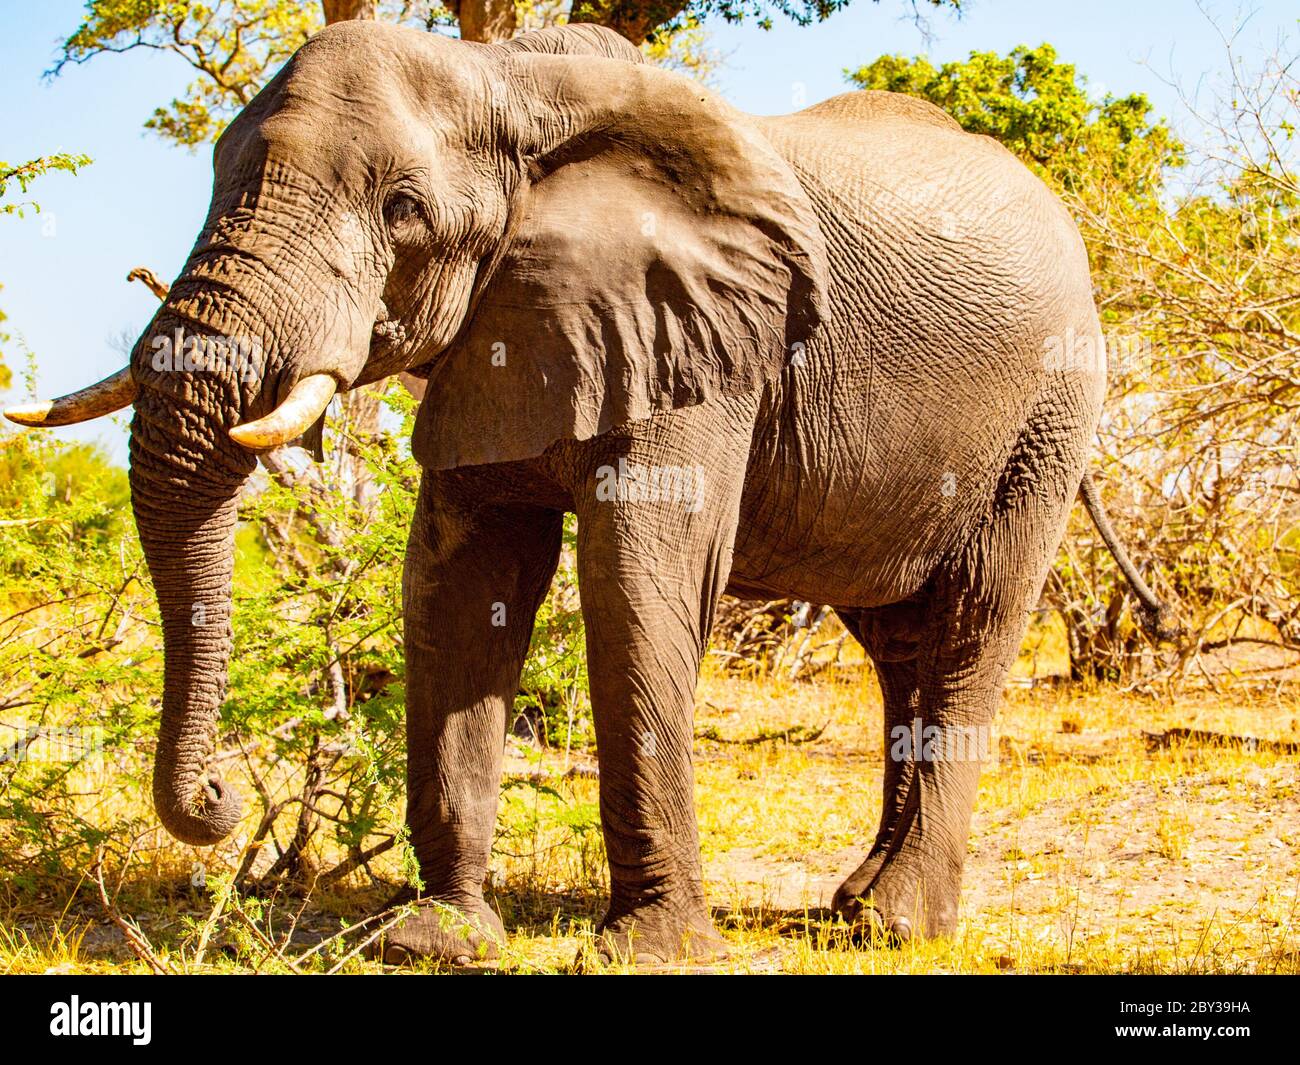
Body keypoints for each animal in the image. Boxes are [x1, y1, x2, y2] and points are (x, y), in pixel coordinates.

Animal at [7, 21, 1169, 964]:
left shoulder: (709, 340)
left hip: (1051, 406)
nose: (218, 798)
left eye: (402, 209)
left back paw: (892, 928)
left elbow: (637, 588)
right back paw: (847, 907)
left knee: (971, 624)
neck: (508, 80)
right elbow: (458, 589)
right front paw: (435, 940)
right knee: (898, 645)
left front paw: (651, 952)